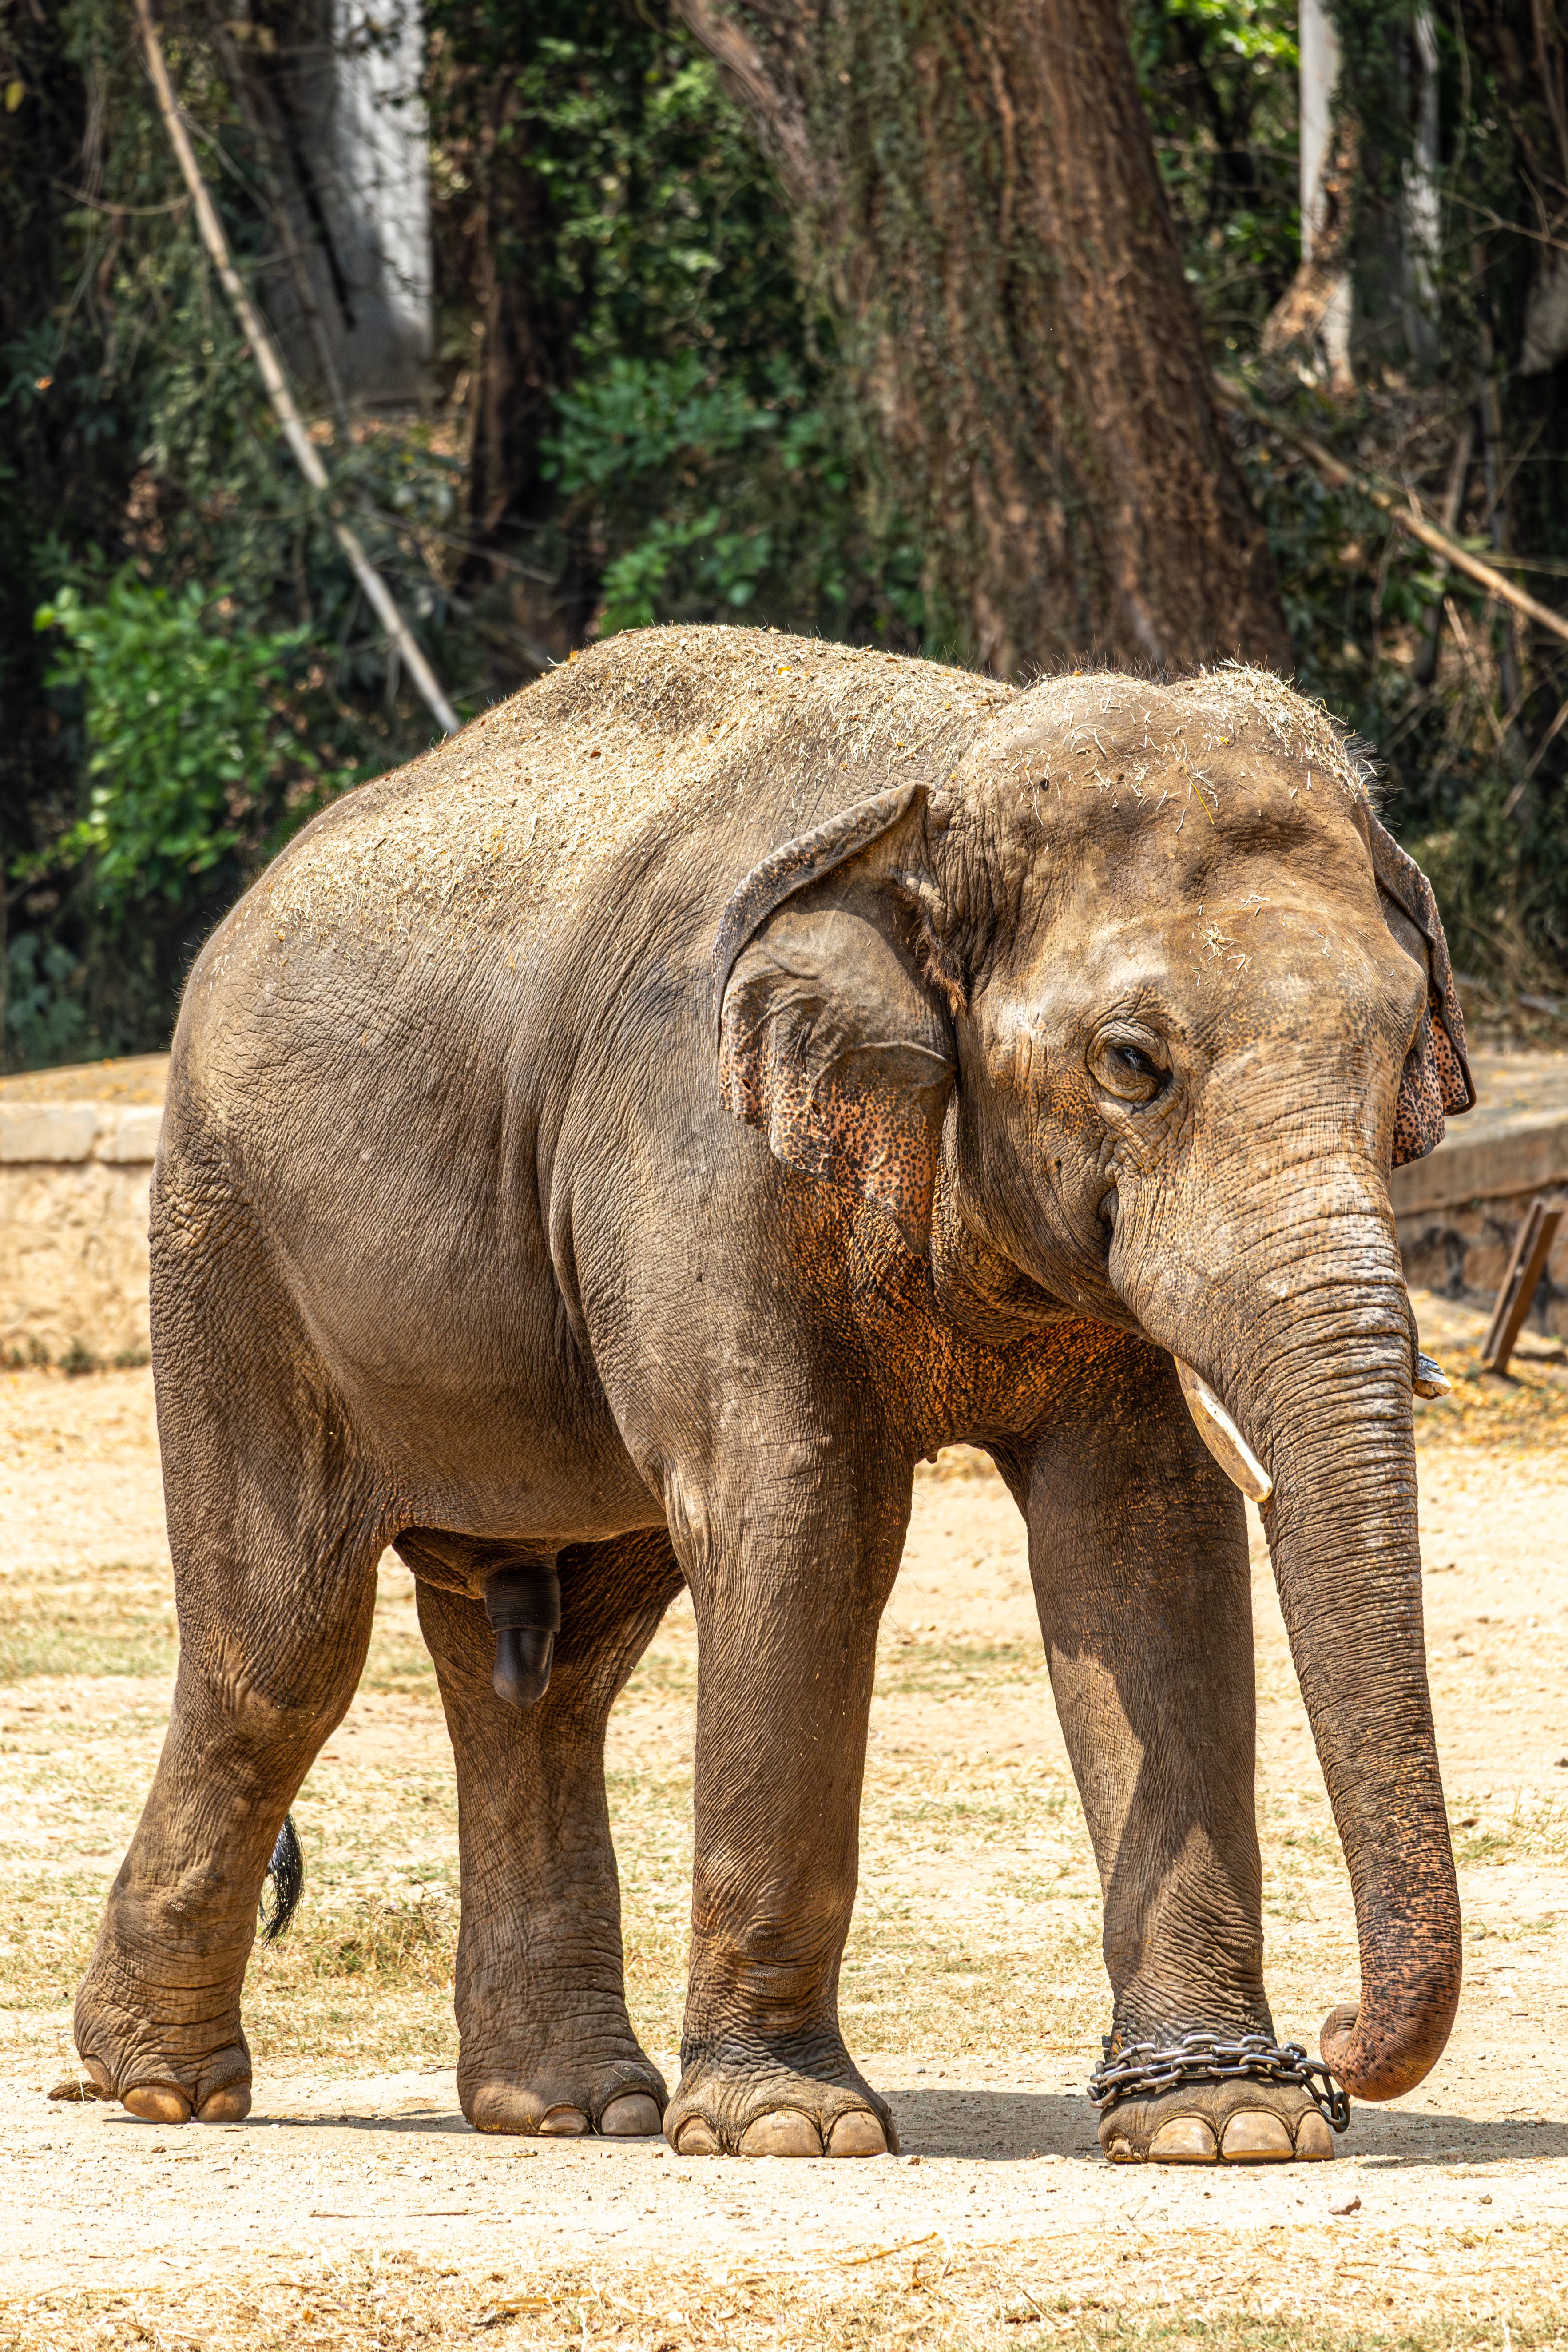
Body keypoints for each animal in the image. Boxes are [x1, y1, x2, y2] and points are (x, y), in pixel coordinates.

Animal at [73, 626, 1473, 2165]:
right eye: (1130, 1063)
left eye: (1402, 1053)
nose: (1335, 2044)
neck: (943, 782)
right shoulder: (698, 1140)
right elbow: (803, 1514)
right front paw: (791, 2129)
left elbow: (1141, 1541)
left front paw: (1221, 2125)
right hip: (227, 1242)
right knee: (282, 1647)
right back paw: (164, 2086)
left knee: (545, 1669)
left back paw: (570, 2108)